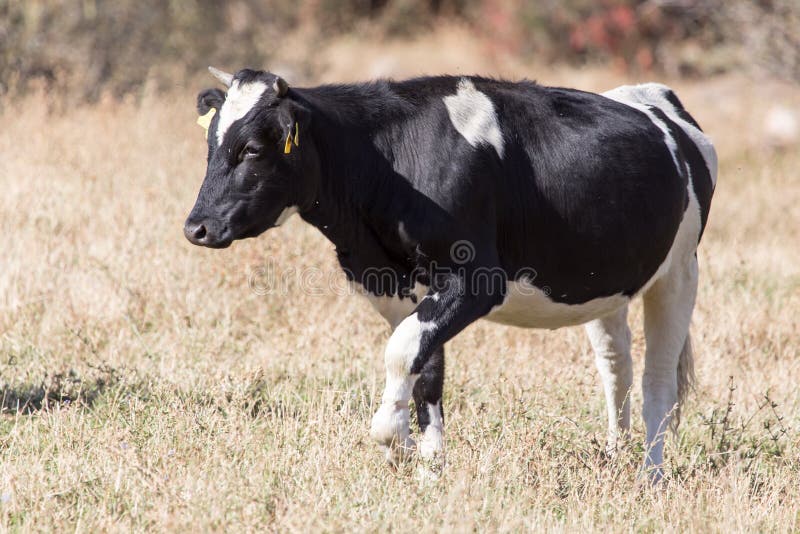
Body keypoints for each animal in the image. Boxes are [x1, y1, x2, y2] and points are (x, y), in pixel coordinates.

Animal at [184, 67, 717, 482]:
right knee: (616, 367)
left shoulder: (476, 279)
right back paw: (614, 454)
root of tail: (652, 97)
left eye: (253, 149)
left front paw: (392, 438)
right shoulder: (396, 284)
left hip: (679, 272)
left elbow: (401, 351)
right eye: (209, 146)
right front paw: (427, 467)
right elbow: (424, 365)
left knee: (658, 381)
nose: (197, 227)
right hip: (607, 284)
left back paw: (651, 476)